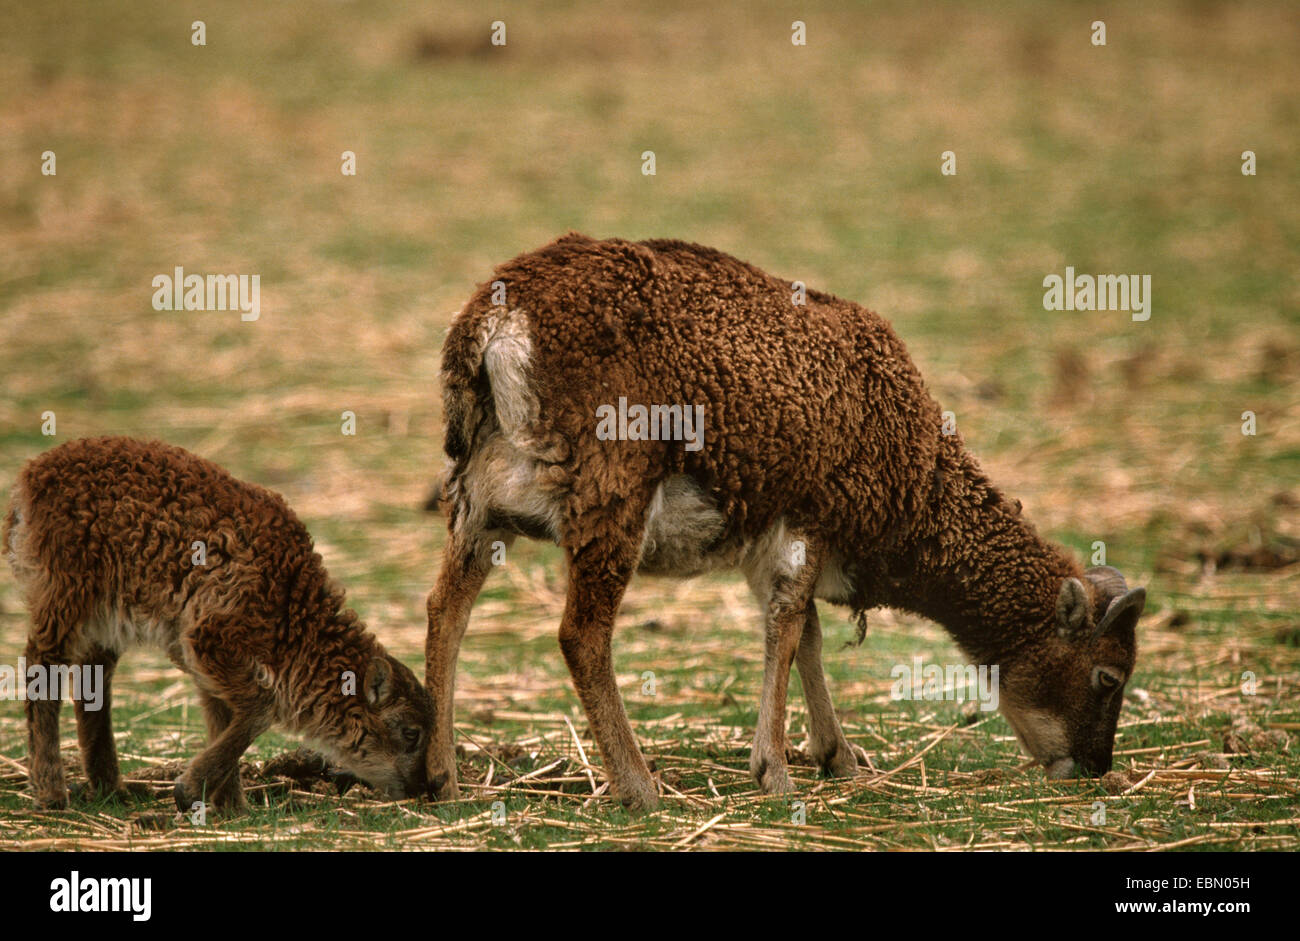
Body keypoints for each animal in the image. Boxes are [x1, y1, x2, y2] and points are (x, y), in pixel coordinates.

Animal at [4, 436, 434, 813]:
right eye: (410, 733)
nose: (421, 789)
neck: (291, 614)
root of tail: (29, 478)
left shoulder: (198, 651)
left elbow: (222, 715)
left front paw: (231, 806)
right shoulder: (211, 637)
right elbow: (261, 706)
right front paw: (191, 789)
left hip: (107, 615)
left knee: (93, 680)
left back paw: (111, 789)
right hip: (66, 590)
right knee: (42, 668)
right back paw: (51, 794)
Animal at [425, 232, 1146, 811]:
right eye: (1108, 676)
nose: (1093, 766)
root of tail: (495, 321)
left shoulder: (768, 538)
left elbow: (808, 637)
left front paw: (838, 757)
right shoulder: (808, 519)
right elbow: (789, 627)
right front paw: (776, 771)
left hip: (480, 499)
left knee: (445, 608)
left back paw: (442, 777)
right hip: (611, 495)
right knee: (581, 634)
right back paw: (638, 786)